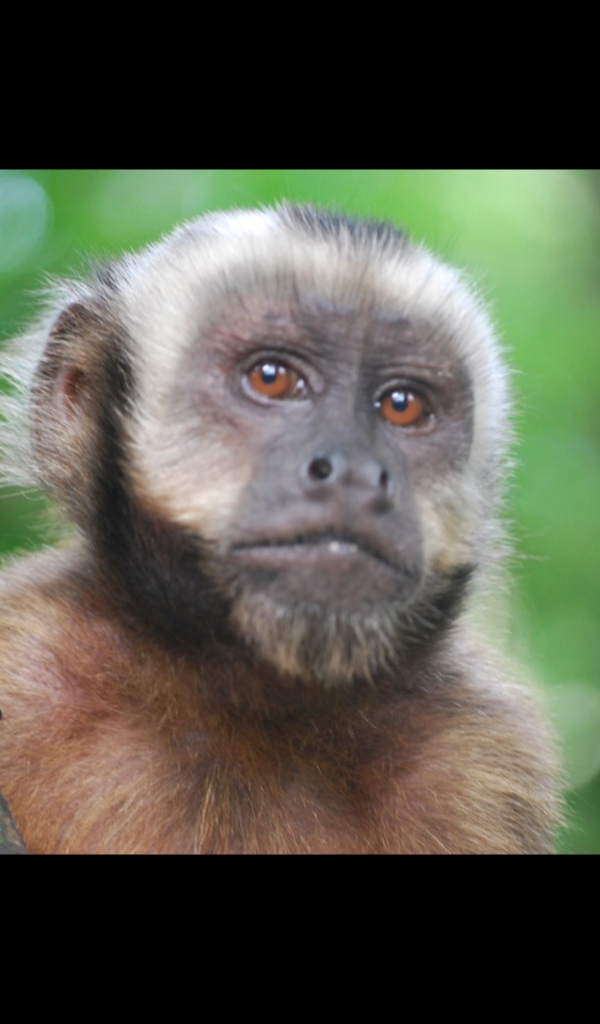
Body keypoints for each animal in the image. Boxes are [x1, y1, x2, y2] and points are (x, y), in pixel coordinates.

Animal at [0, 204, 560, 854]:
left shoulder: (482, 749)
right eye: (272, 377)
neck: (242, 693)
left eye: (403, 405)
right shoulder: (25, 656)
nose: (354, 471)